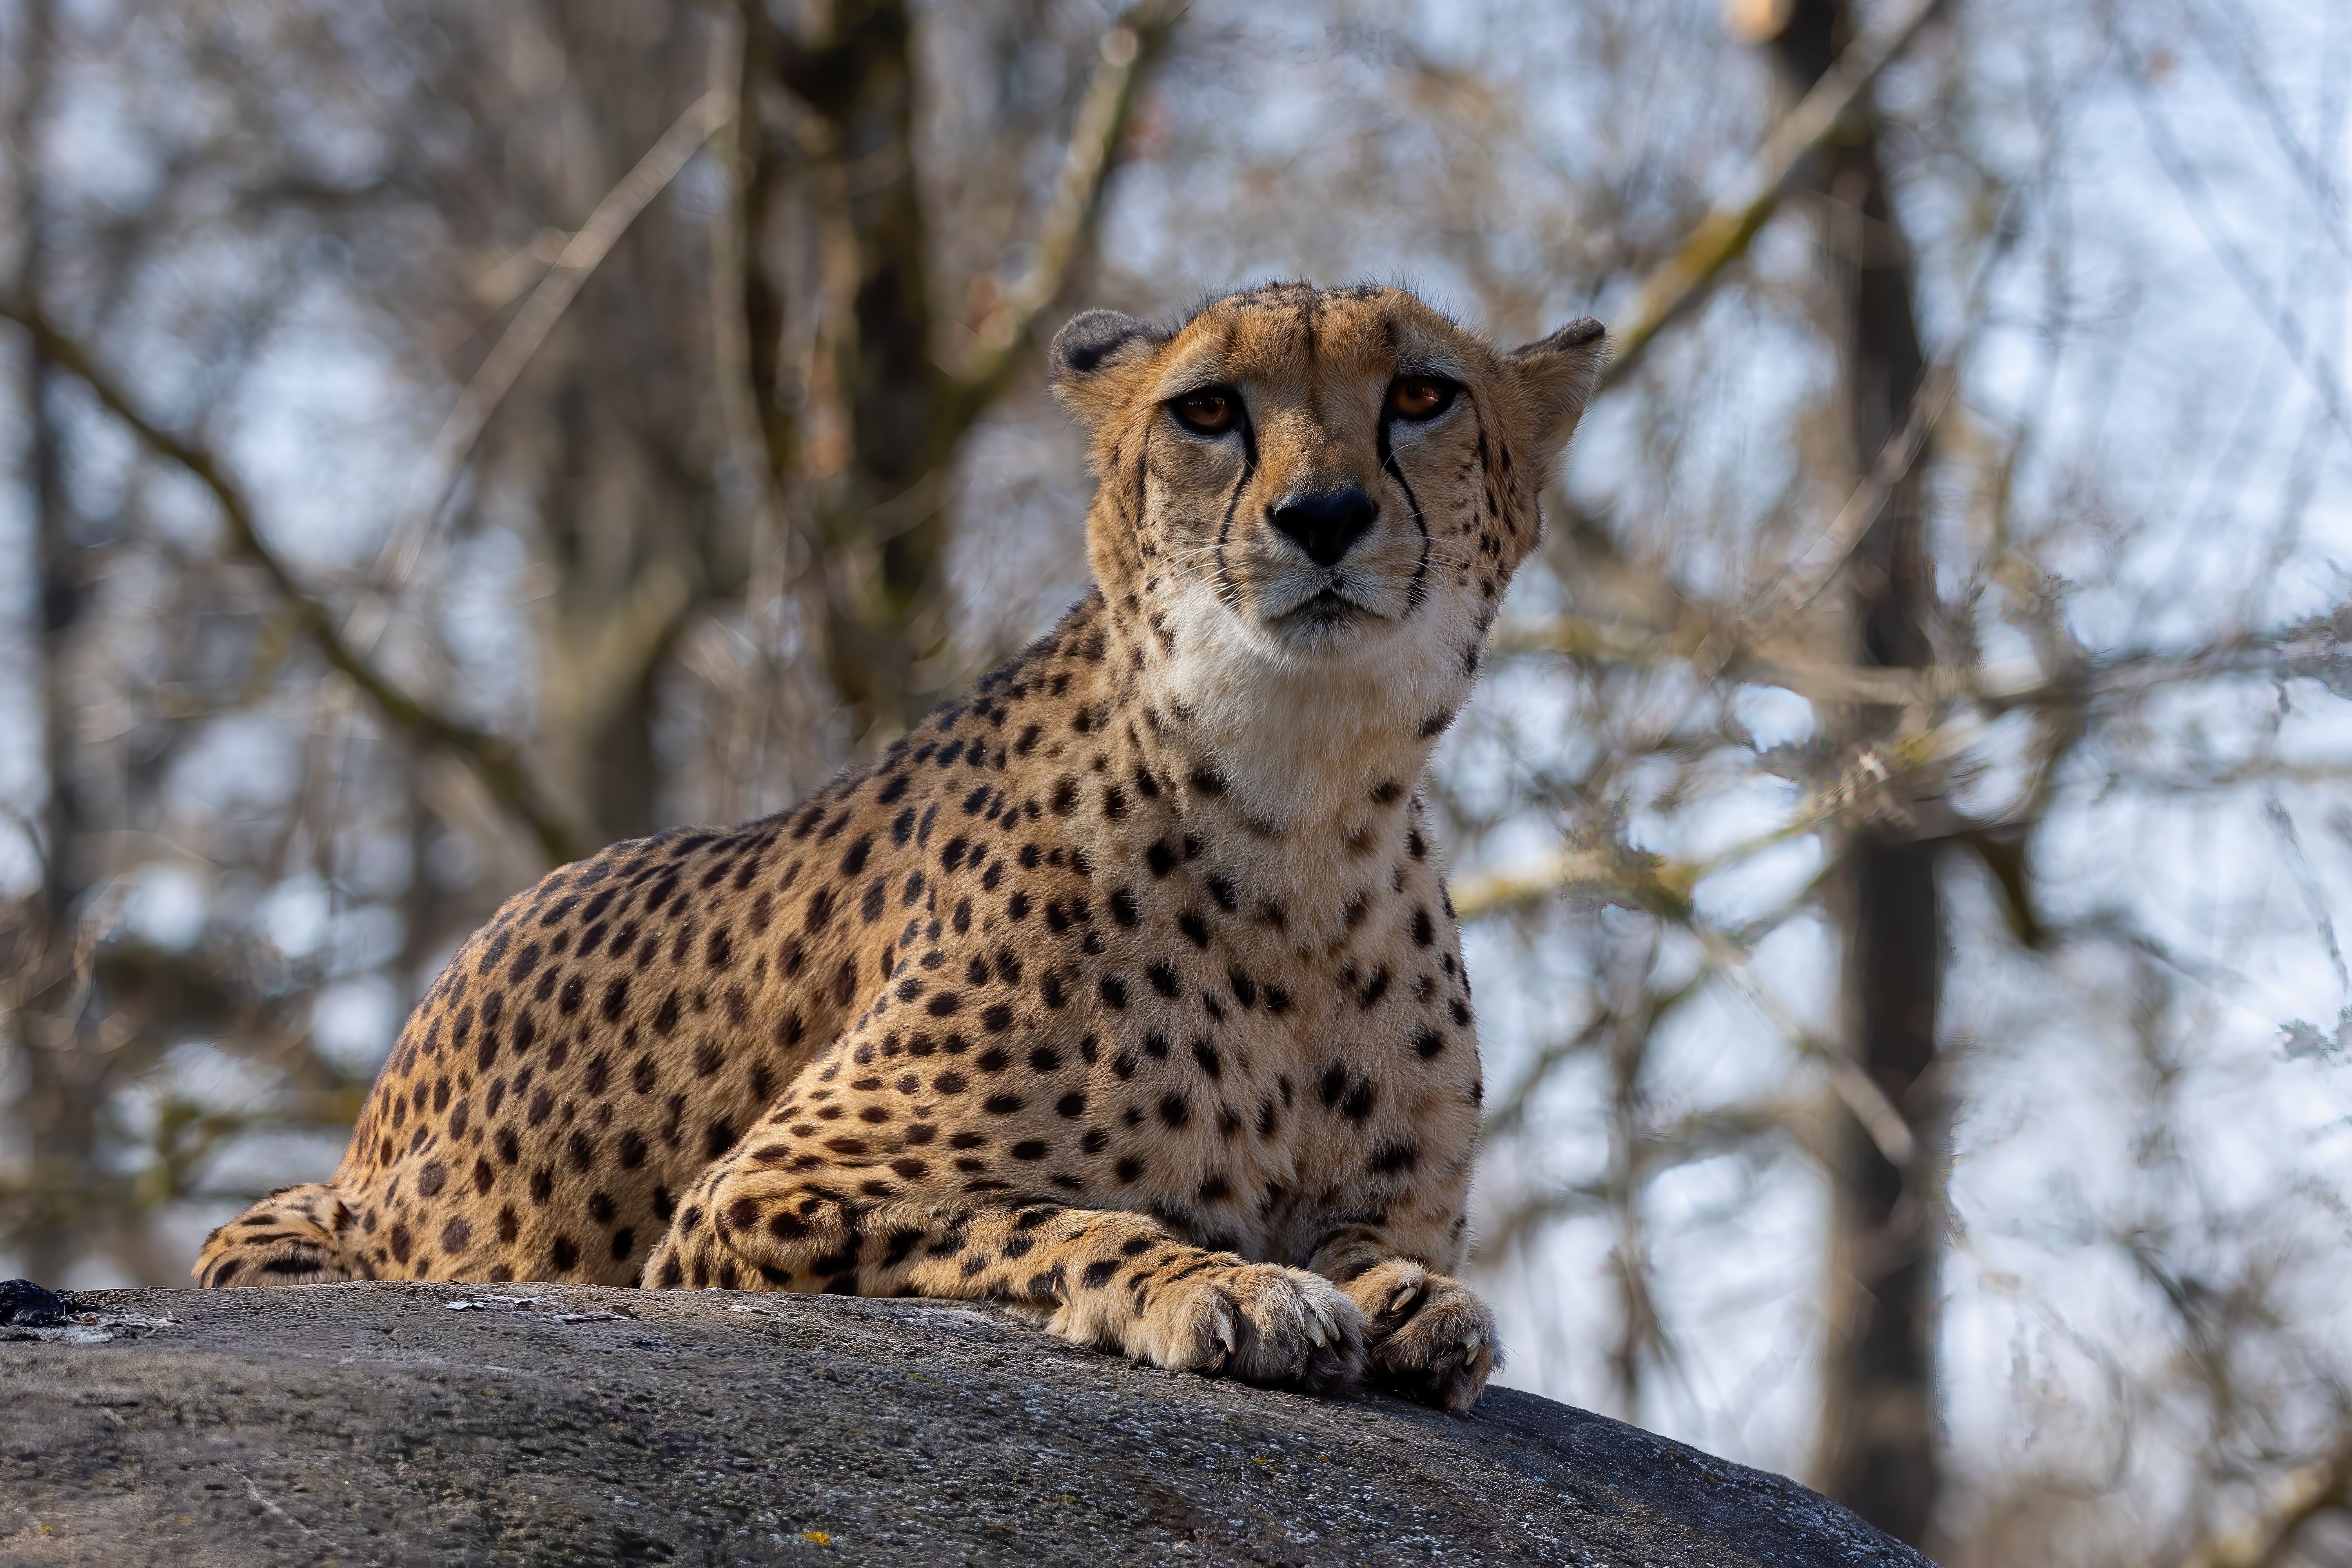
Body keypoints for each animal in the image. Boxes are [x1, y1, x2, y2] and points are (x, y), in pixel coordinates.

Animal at [194, 281, 1606, 1413]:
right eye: (1209, 411)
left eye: (1421, 395)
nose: (1324, 514)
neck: (1303, 807)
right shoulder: (751, 1201)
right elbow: (1056, 1217)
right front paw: (1231, 1287)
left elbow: (1385, 1255)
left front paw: (1409, 1302)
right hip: (295, 1233)